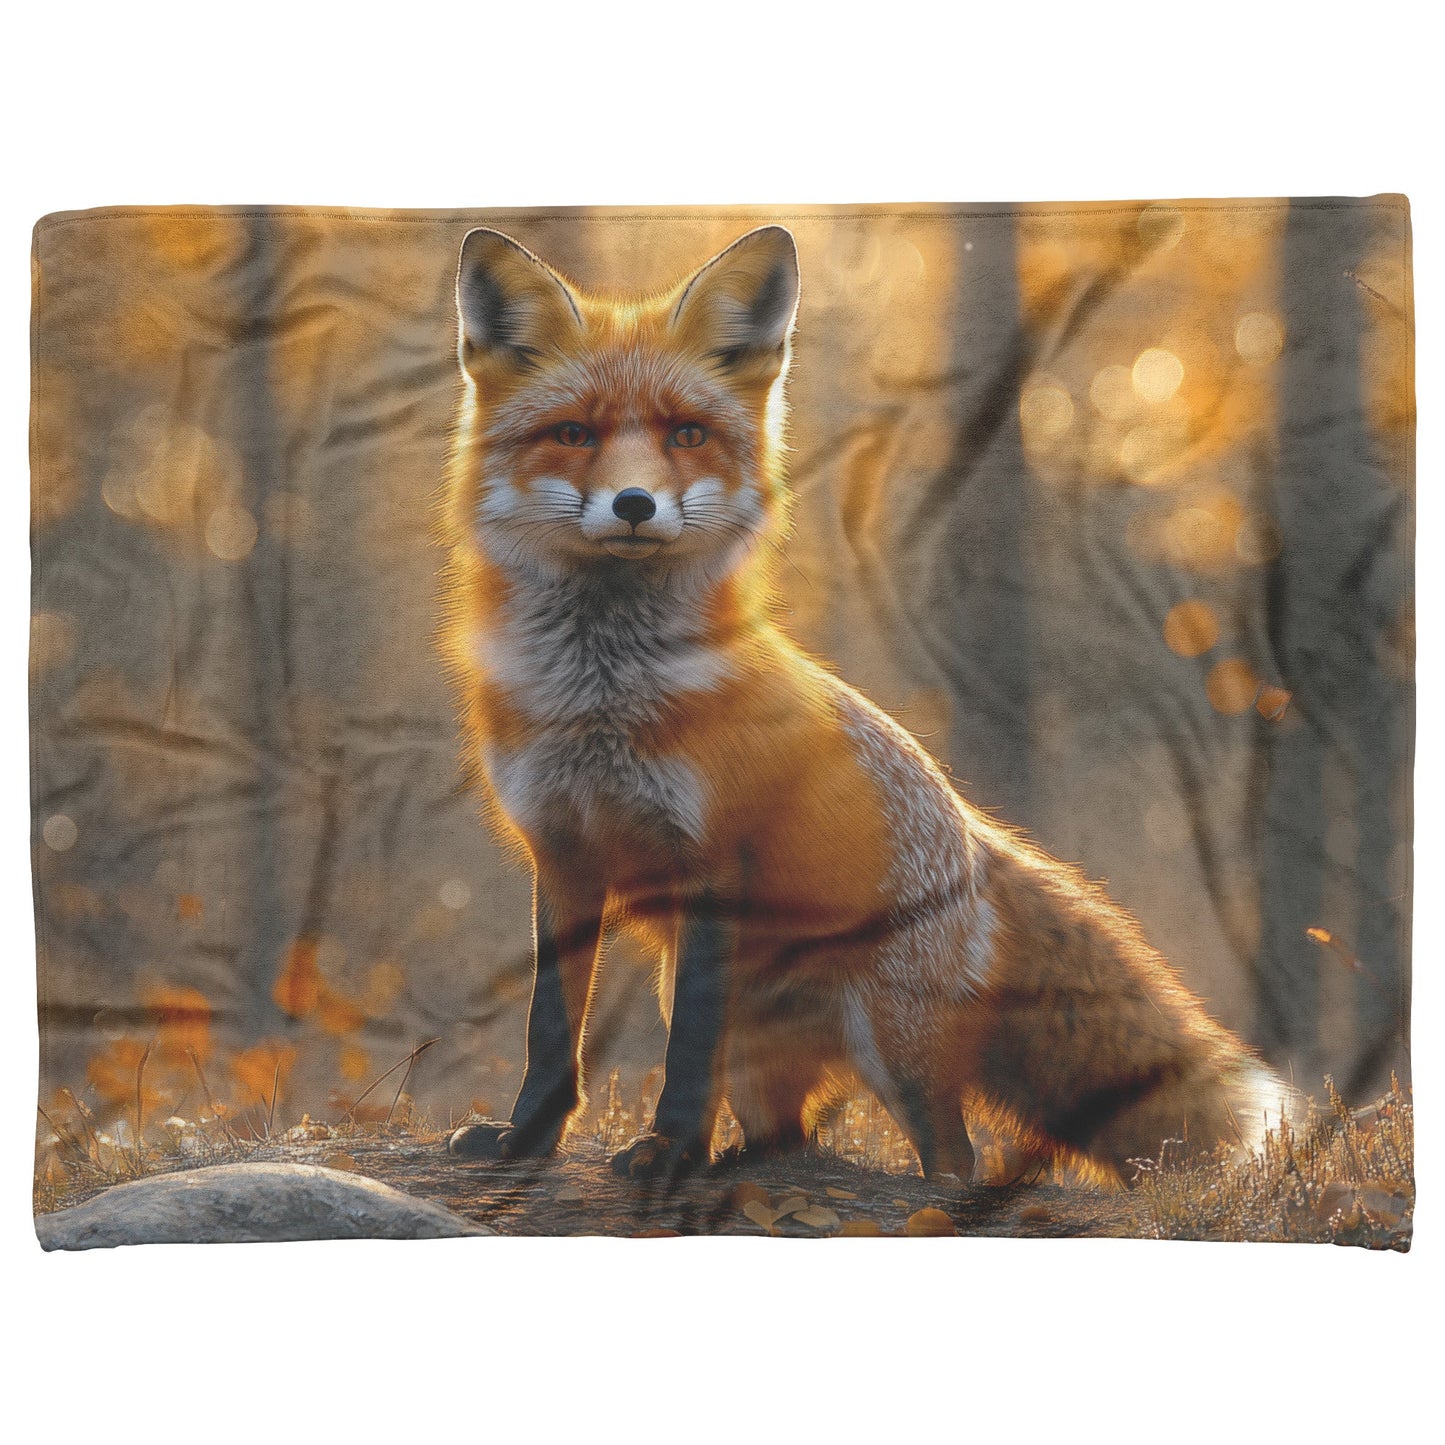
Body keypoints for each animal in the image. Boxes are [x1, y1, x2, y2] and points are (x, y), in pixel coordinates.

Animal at [438, 223, 1293, 1183]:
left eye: (687, 433)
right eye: (573, 433)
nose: (633, 503)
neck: (601, 696)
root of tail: (973, 837)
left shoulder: (713, 862)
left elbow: (686, 1048)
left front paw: (668, 1150)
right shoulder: (563, 854)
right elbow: (550, 1027)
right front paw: (526, 1140)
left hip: (893, 1046)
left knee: (948, 1154)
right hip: (757, 1049)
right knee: (790, 1136)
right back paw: (738, 1171)